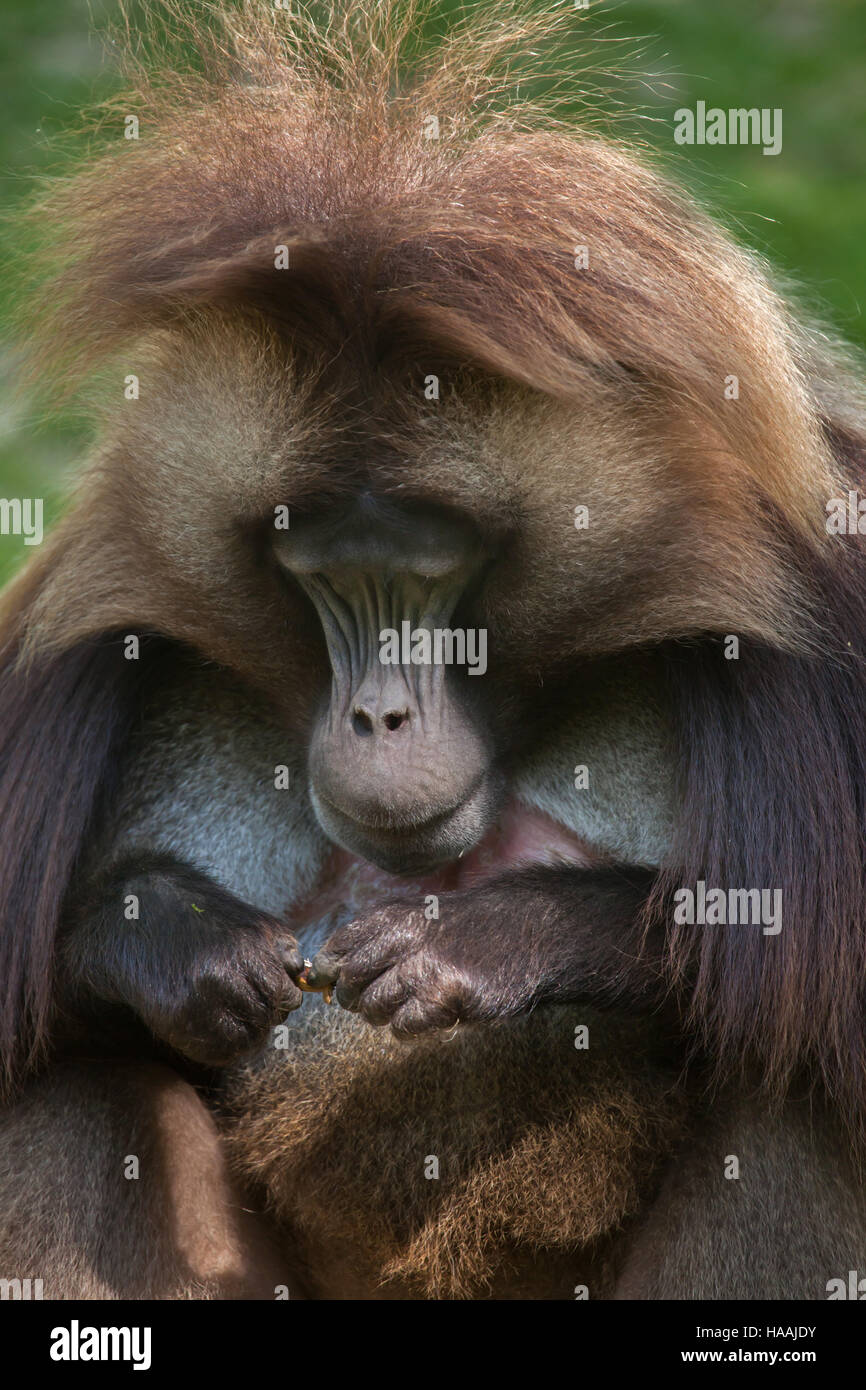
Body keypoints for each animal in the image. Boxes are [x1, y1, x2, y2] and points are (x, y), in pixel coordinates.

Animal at [1, 0, 866, 1300]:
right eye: (320, 580)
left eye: (429, 575)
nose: (376, 719)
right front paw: (169, 935)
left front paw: (505, 933)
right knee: (75, 1099)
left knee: (789, 1102)